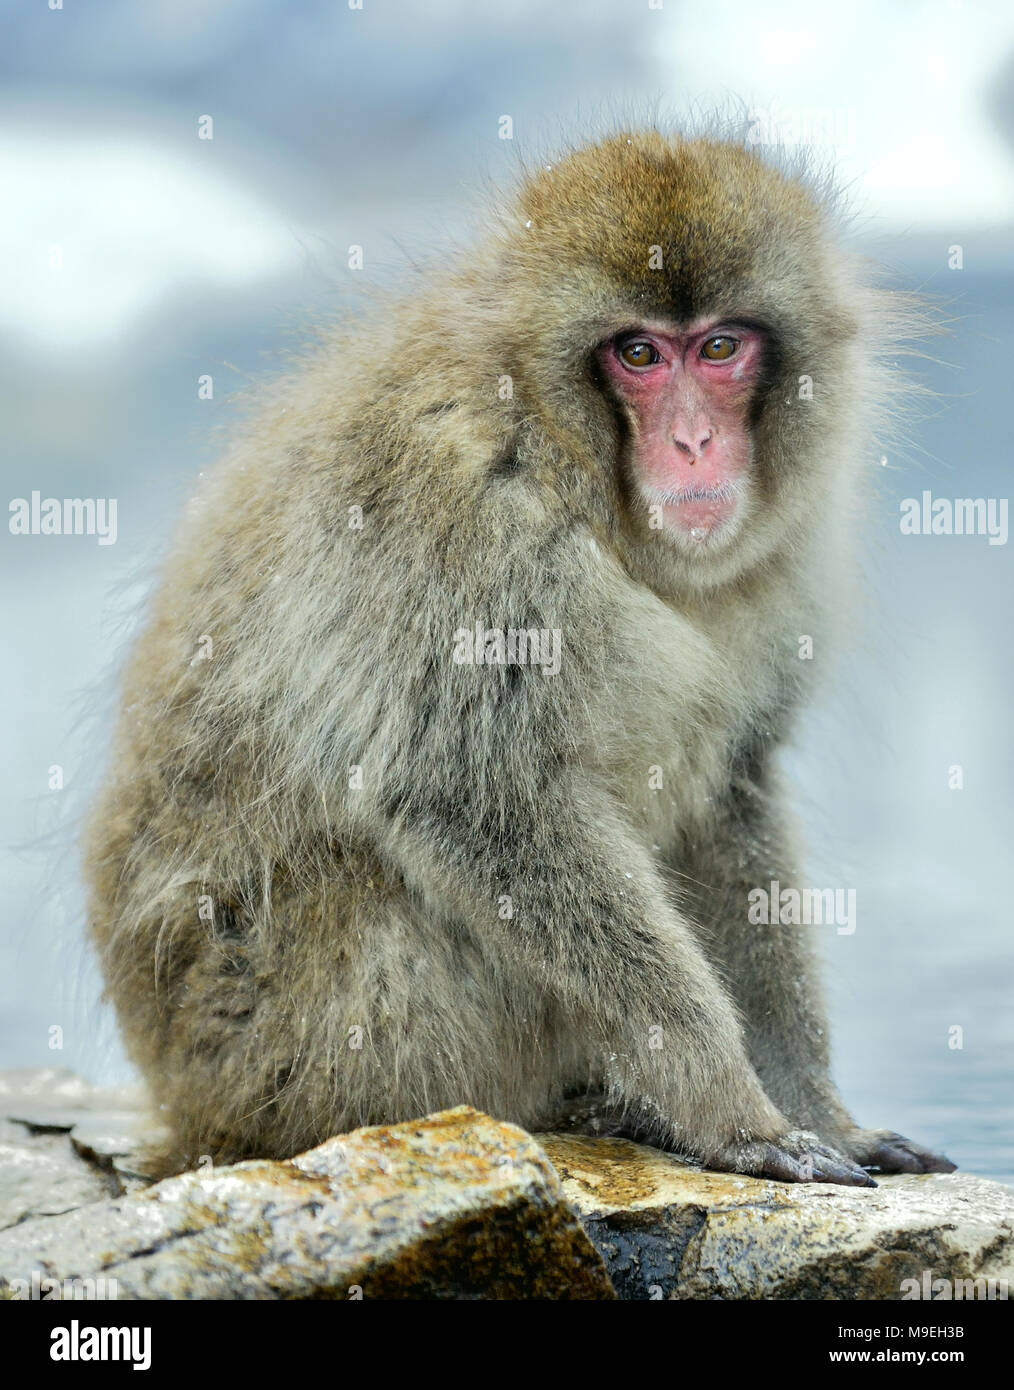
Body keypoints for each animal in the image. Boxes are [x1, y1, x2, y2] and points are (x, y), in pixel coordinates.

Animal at [84, 129, 956, 1184]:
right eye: (636, 354)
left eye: (719, 346)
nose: (694, 443)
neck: (569, 464)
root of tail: (188, 1104)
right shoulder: (459, 521)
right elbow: (481, 802)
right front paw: (728, 1113)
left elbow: (729, 800)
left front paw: (818, 1111)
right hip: (291, 1042)